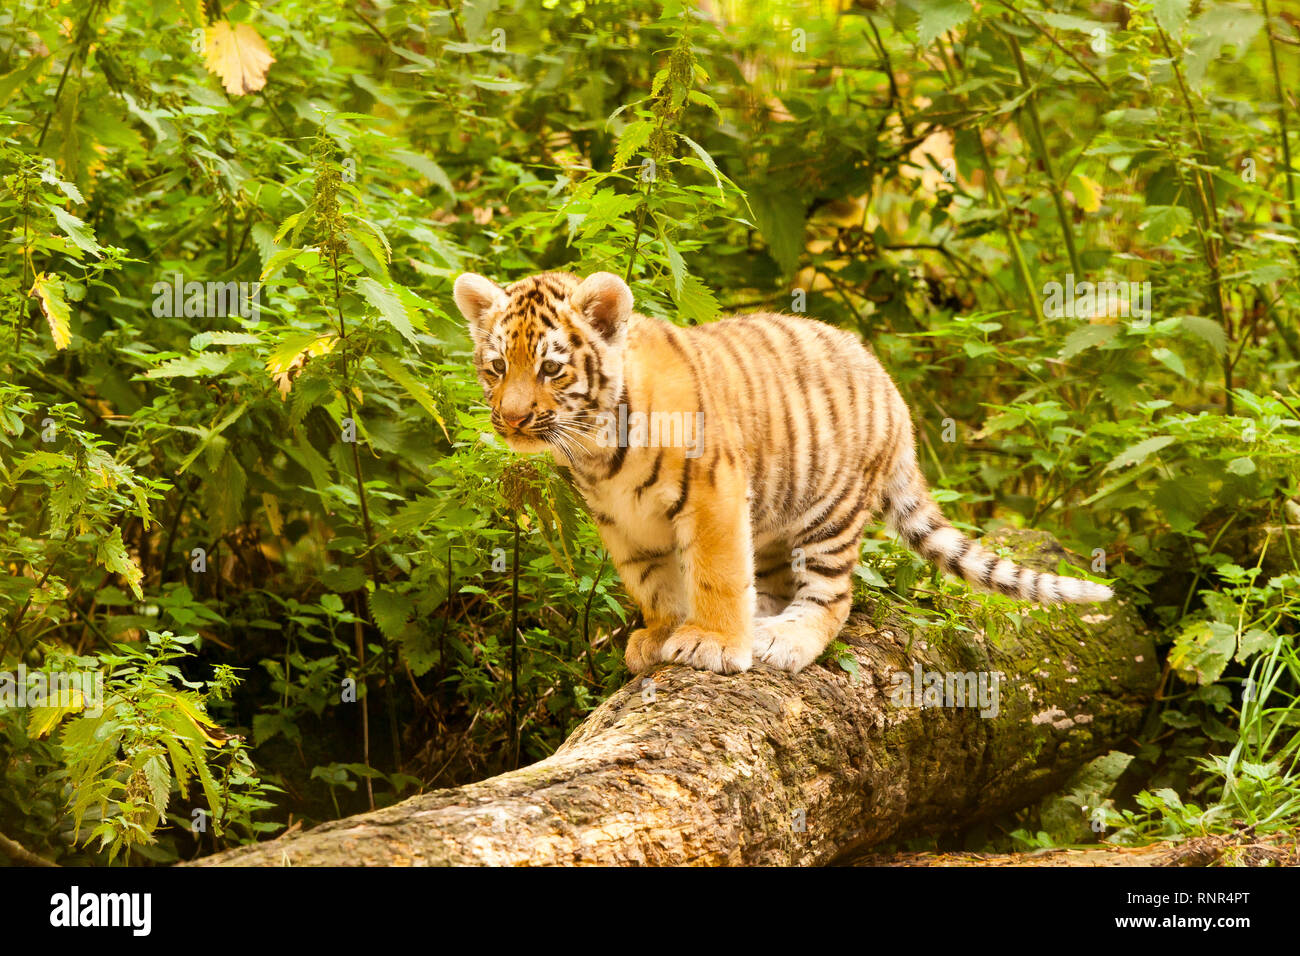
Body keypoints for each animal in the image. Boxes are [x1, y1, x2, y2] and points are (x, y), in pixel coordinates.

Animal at [452, 270, 1113, 675]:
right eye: (496, 366)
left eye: (551, 369)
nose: (511, 418)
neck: (594, 447)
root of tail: (889, 385)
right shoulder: (622, 520)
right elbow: (653, 582)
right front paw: (661, 633)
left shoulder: (713, 494)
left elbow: (715, 573)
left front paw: (711, 643)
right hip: (772, 517)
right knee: (769, 580)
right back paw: (762, 620)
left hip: (831, 512)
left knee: (833, 595)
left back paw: (782, 639)